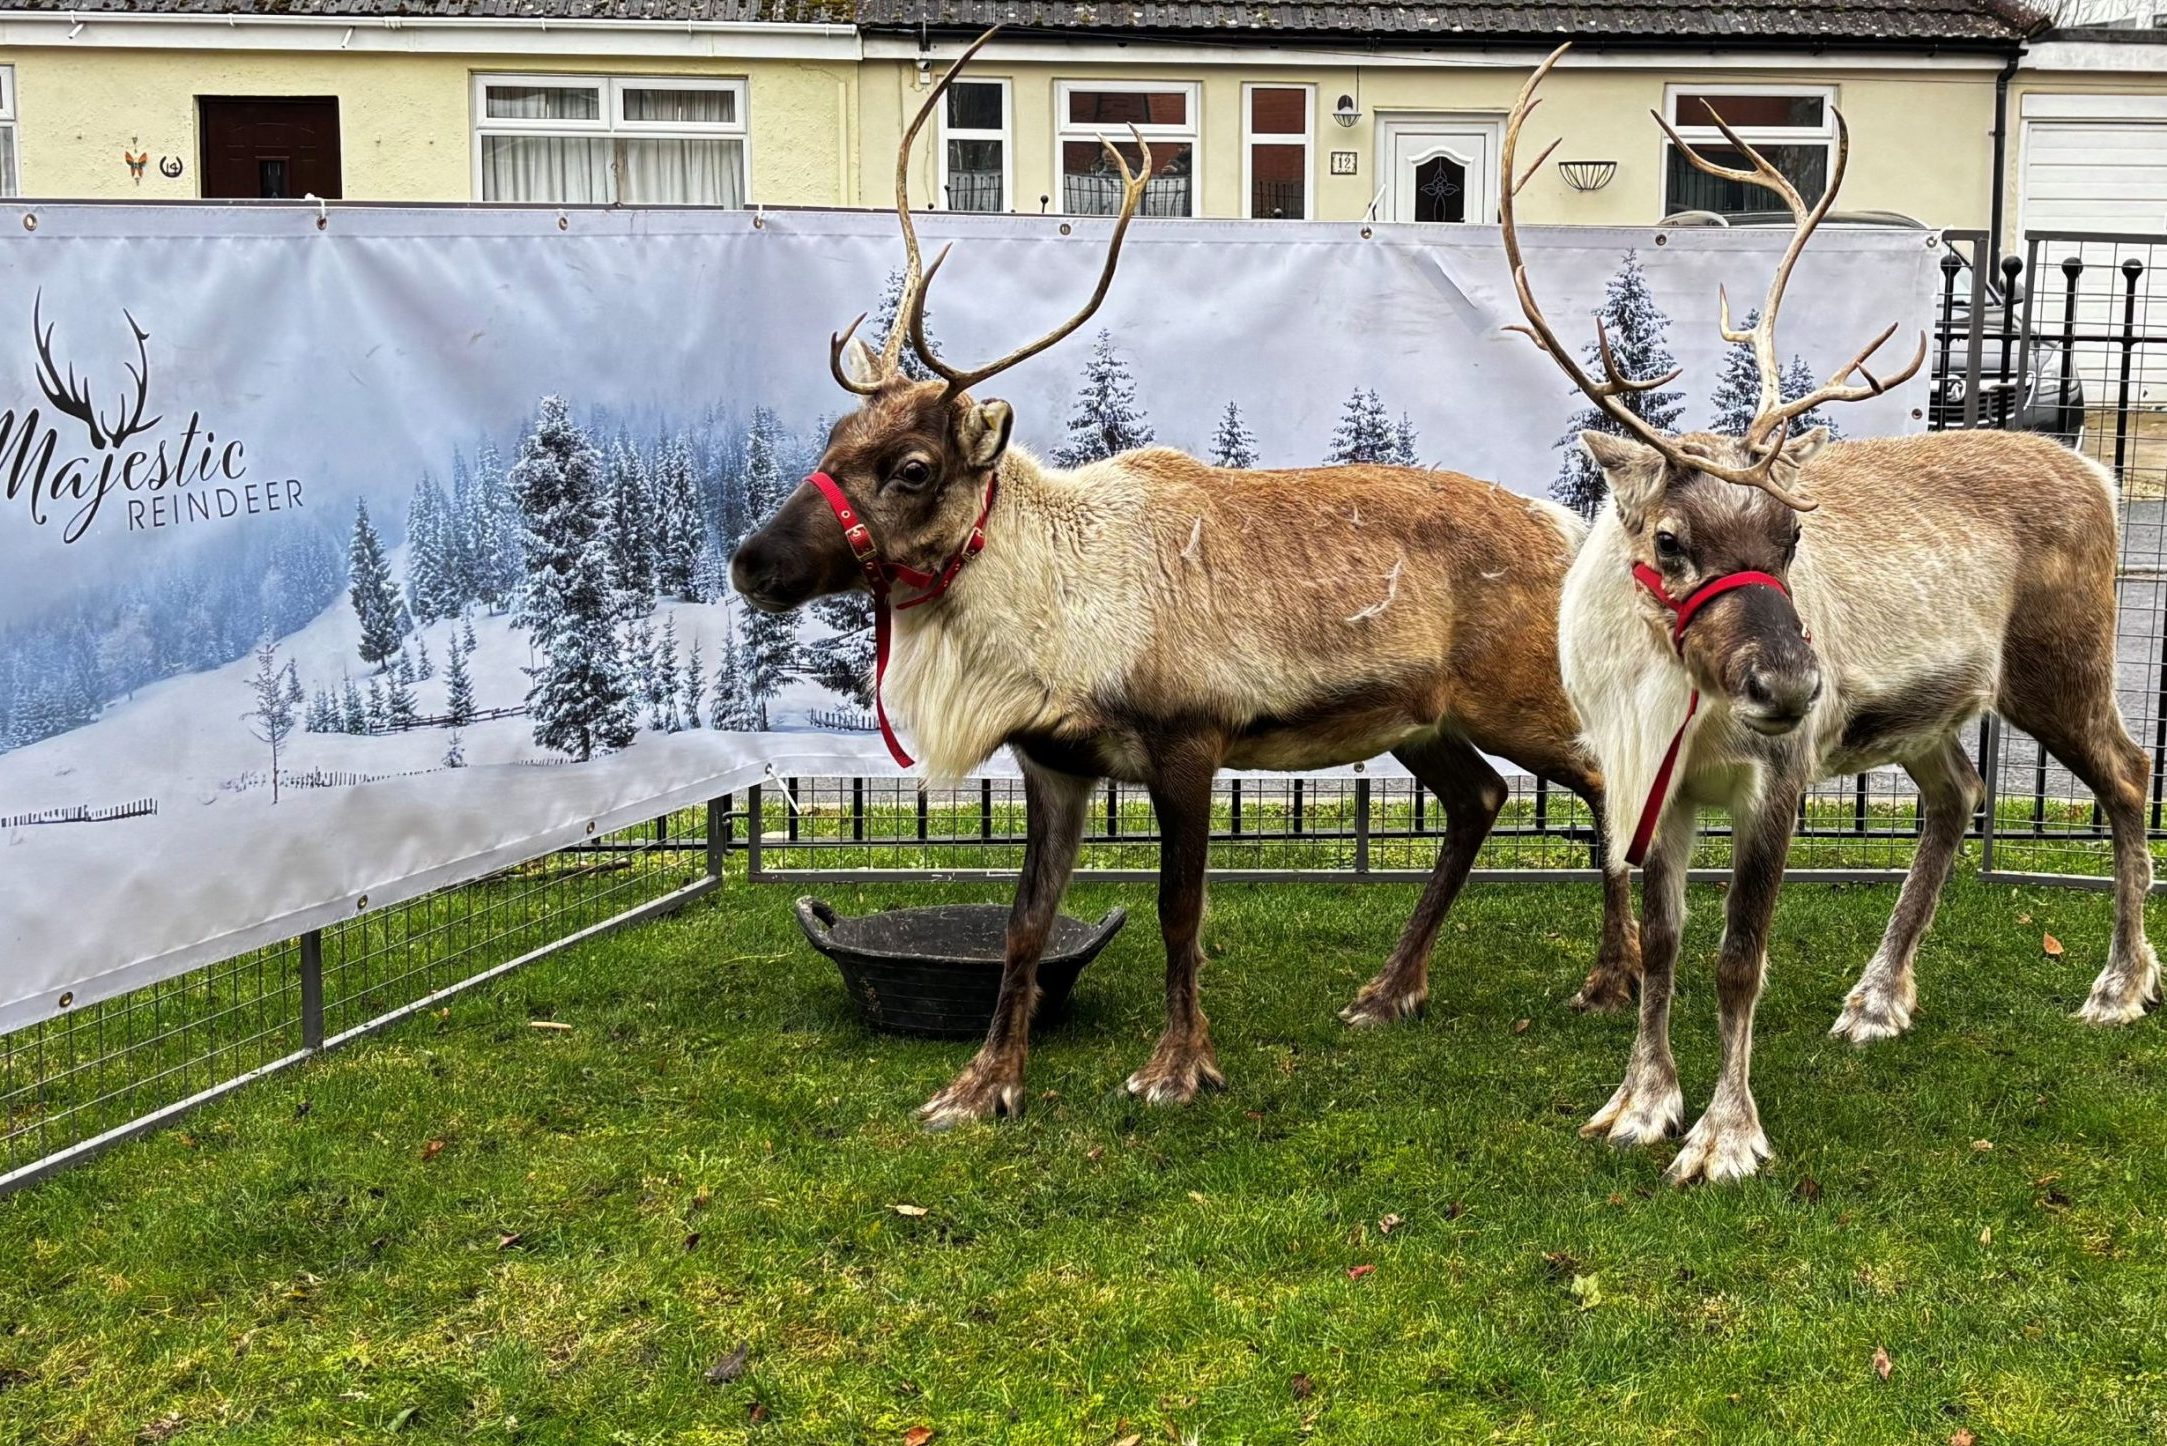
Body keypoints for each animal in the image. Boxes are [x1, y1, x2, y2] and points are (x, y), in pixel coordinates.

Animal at [730, 29, 1644, 1129]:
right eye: (833, 435)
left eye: (911, 468)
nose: (751, 562)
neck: (1054, 609)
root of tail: (1567, 527)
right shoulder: (1052, 761)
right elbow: (1025, 923)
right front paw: (982, 1083)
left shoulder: (1188, 740)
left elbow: (1179, 910)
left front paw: (1177, 1066)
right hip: (1420, 721)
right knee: (1479, 800)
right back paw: (1391, 990)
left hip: (1518, 695)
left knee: (1602, 778)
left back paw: (1612, 979)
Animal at [1501, 43, 2159, 1184]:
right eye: (1668, 541)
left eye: (1790, 536)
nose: (1794, 682)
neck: (1658, 691)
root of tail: (2095, 474)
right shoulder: (1652, 786)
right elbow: (1663, 946)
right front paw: (1640, 1102)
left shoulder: (1779, 776)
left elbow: (1737, 959)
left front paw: (1723, 1135)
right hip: (1931, 712)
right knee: (1958, 794)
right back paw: (1877, 997)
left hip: (2058, 666)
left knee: (2127, 772)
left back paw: (2119, 986)